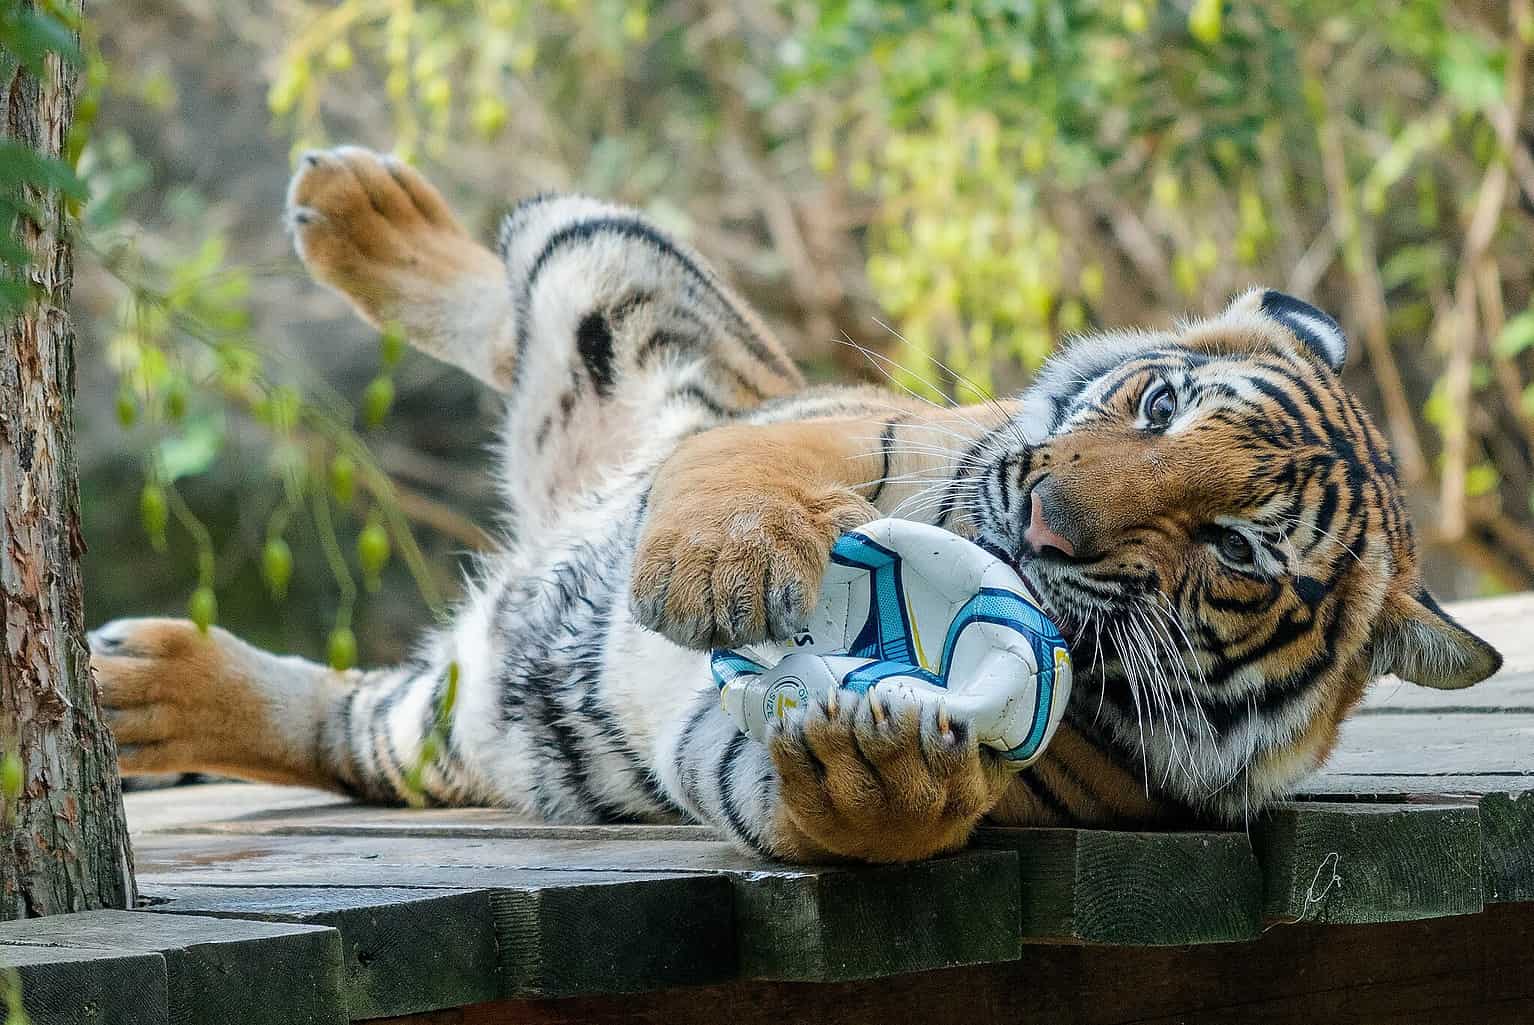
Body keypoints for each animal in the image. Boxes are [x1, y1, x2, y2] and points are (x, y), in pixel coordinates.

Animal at [90, 146, 1502, 864]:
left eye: (1235, 552)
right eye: (1157, 406)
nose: (1046, 520)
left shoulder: (726, 746)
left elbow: (841, 799)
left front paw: (883, 770)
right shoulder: (814, 429)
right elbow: (741, 480)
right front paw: (719, 568)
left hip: (466, 722)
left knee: (346, 718)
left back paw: (133, 692)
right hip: (632, 305)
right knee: (537, 287)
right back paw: (355, 201)